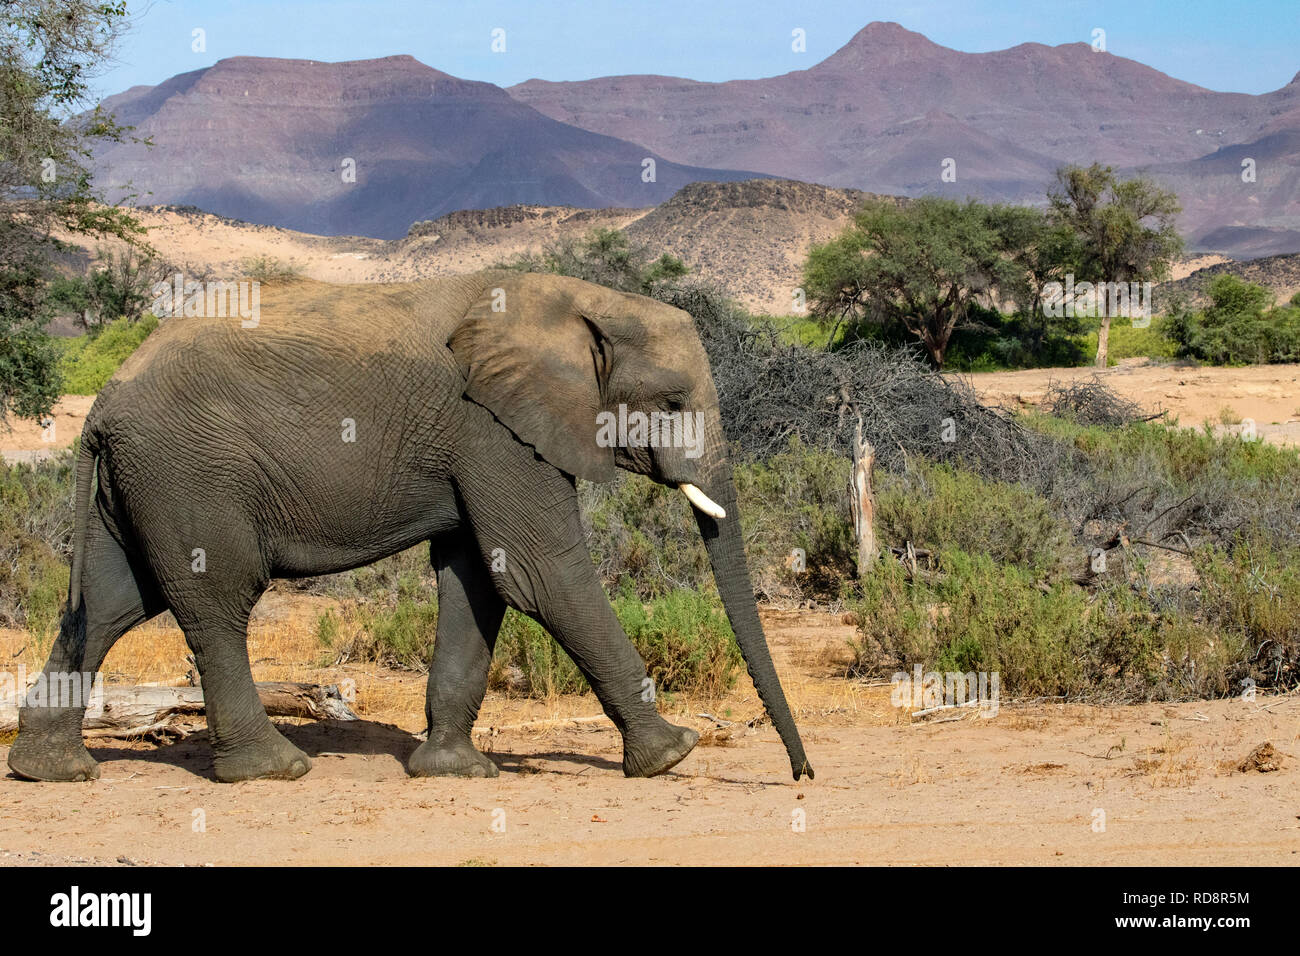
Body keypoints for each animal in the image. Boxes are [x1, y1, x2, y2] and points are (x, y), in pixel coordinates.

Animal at [7, 270, 813, 784]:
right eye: (673, 403)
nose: (801, 775)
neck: (582, 301)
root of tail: (104, 400)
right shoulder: (492, 427)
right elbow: (541, 572)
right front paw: (674, 754)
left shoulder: (481, 439)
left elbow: (478, 577)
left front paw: (454, 771)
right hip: (189, 471)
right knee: (216, 603)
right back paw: (274, 770)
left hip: (142, 480)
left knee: (108, 605)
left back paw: (51, 771)